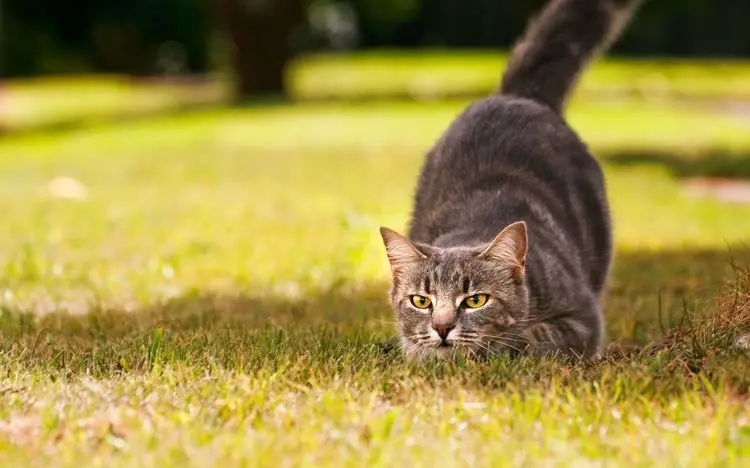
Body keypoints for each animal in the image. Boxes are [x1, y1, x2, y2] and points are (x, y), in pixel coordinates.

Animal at [382, 0, 648, 362]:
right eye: (421, 301)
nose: (442, 327)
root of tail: (516, 96)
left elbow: (528, 338)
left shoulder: (582, 319)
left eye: (476, 300)